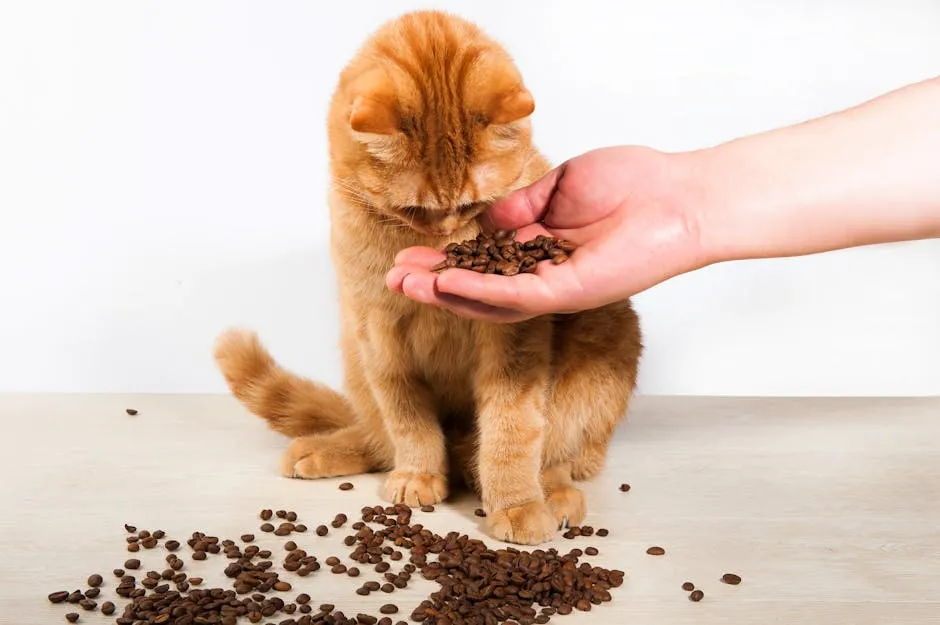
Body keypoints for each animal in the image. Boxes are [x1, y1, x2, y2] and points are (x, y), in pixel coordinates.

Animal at [215, 11, 640, 544]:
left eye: (473, 205)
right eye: (413, 210)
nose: (446, 233)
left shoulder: (514, 341)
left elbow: (513, 429)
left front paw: (518, 503)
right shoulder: (376, 335)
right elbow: (406, 420)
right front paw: (419, 474)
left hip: (607, 333)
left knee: (560, 455)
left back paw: (553, 493)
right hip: (354, 360)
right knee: (377, 436)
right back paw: (328, 448)